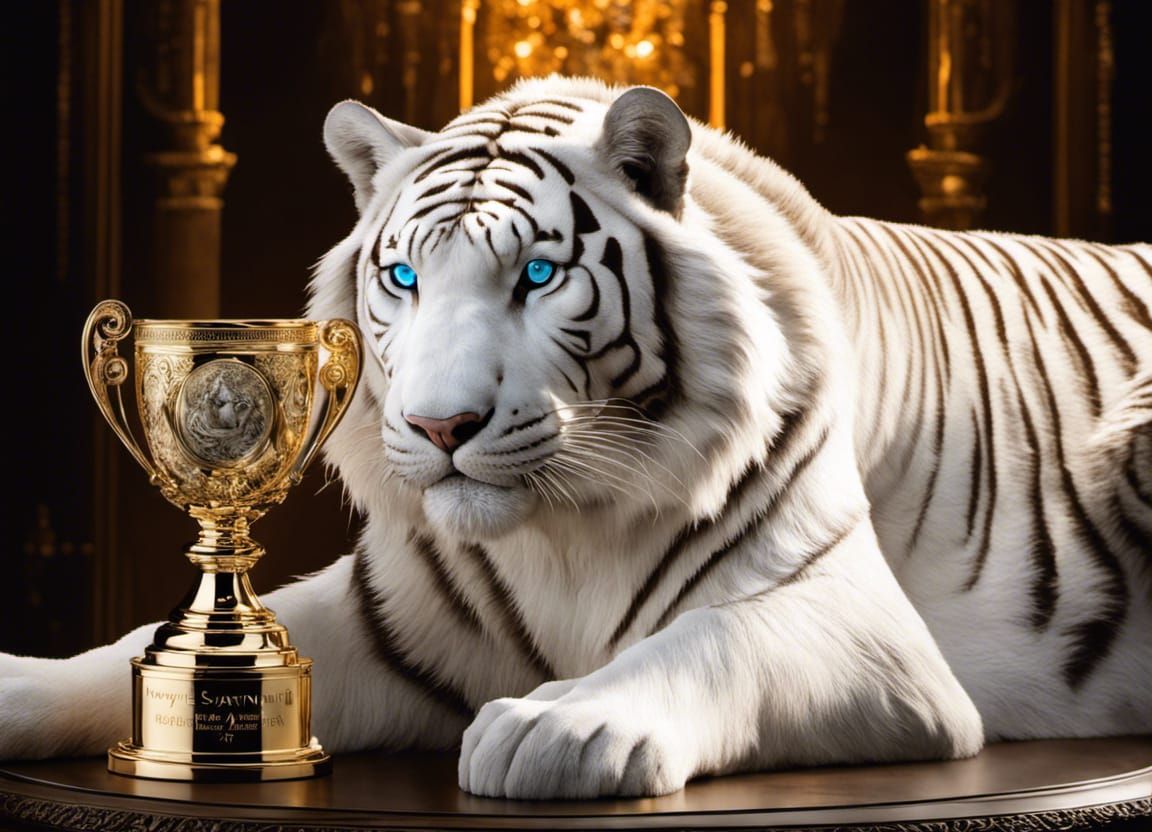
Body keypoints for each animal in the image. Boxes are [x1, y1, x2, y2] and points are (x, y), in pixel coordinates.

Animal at [1, 76, 1149, 800]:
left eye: (540, 276)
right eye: (403, 276)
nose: (439, 425)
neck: (556, 530)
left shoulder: (865, 632)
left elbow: (711, 635)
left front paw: (557, 724)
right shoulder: (383, 622)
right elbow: (133, 654)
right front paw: (21, 683)